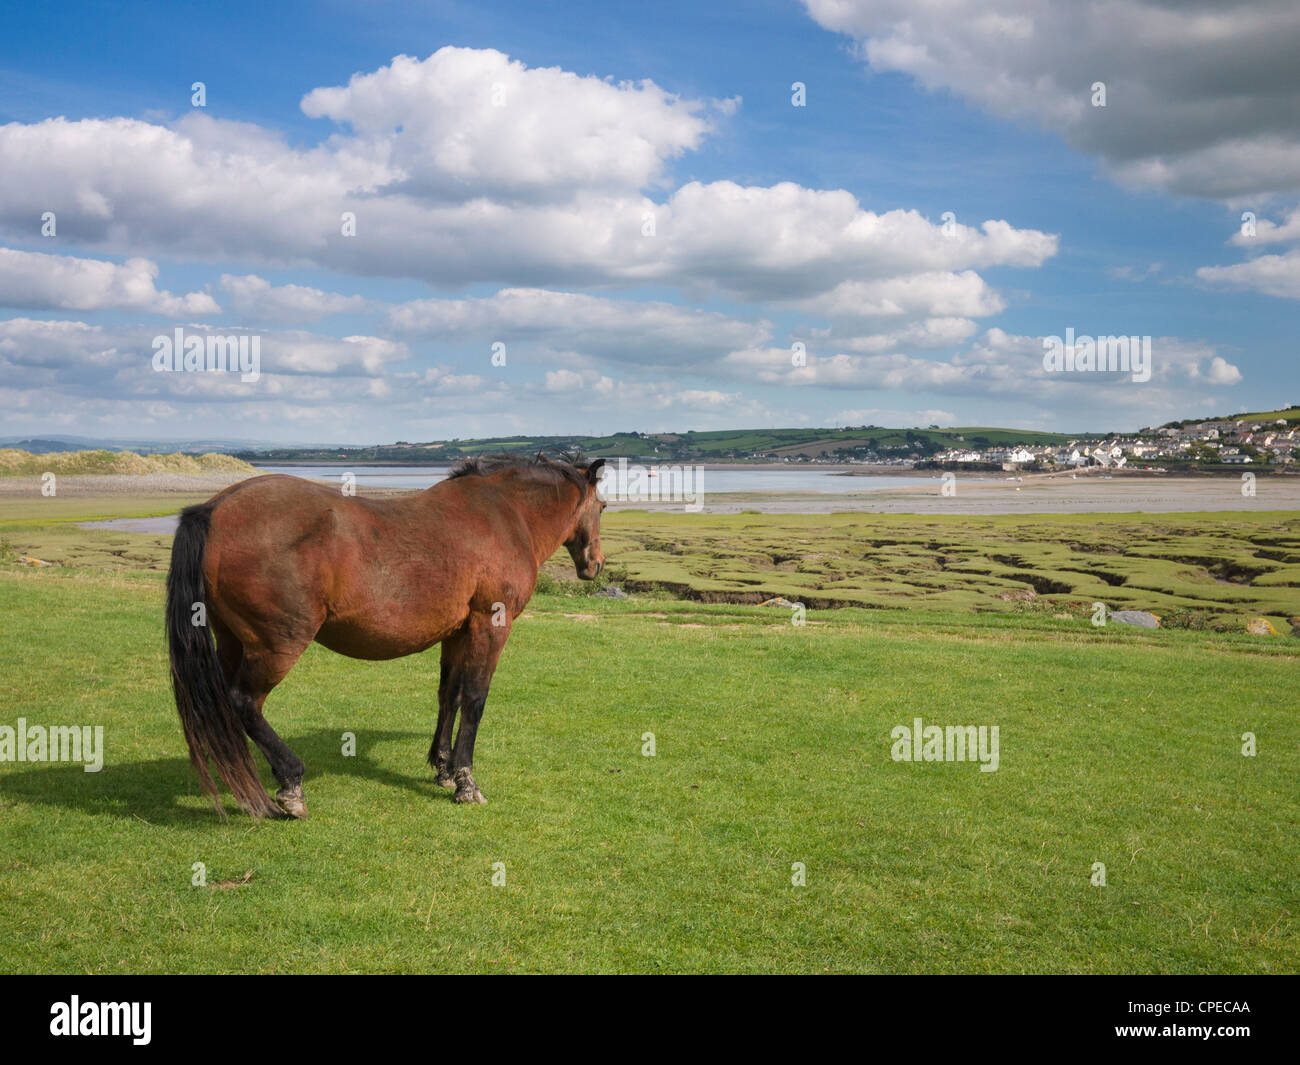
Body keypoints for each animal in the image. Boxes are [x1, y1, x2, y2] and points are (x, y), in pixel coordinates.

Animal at [165, 453, 607, 819]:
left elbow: (450, 696)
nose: (597, 565)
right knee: (244, 701)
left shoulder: (457, 632)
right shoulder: (489, 625)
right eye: (602, 507)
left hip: (232, 641)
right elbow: (475, 700)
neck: (503, 515)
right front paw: (466, 782)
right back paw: (290, 782)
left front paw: (444, 769)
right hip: (276, 646)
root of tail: (215, 507)